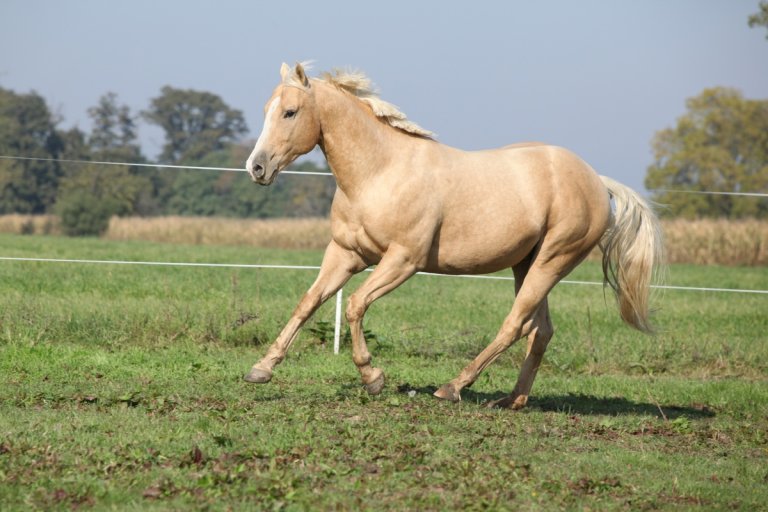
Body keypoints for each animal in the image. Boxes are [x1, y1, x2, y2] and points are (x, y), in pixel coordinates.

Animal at [243, 62, 663, 409]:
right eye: (266, 110)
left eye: (290, 112)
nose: (256, 168)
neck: (379, 172)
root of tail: (597, 181)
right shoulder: (345, 254)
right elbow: (308, 302)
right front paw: (261, 368)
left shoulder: (403, 260)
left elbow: (355, 305)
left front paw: (372, 377)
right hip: (527, 265)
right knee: (540, 330)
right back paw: (512, 400)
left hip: (552, 261)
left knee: (515, 325)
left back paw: (453, 387)